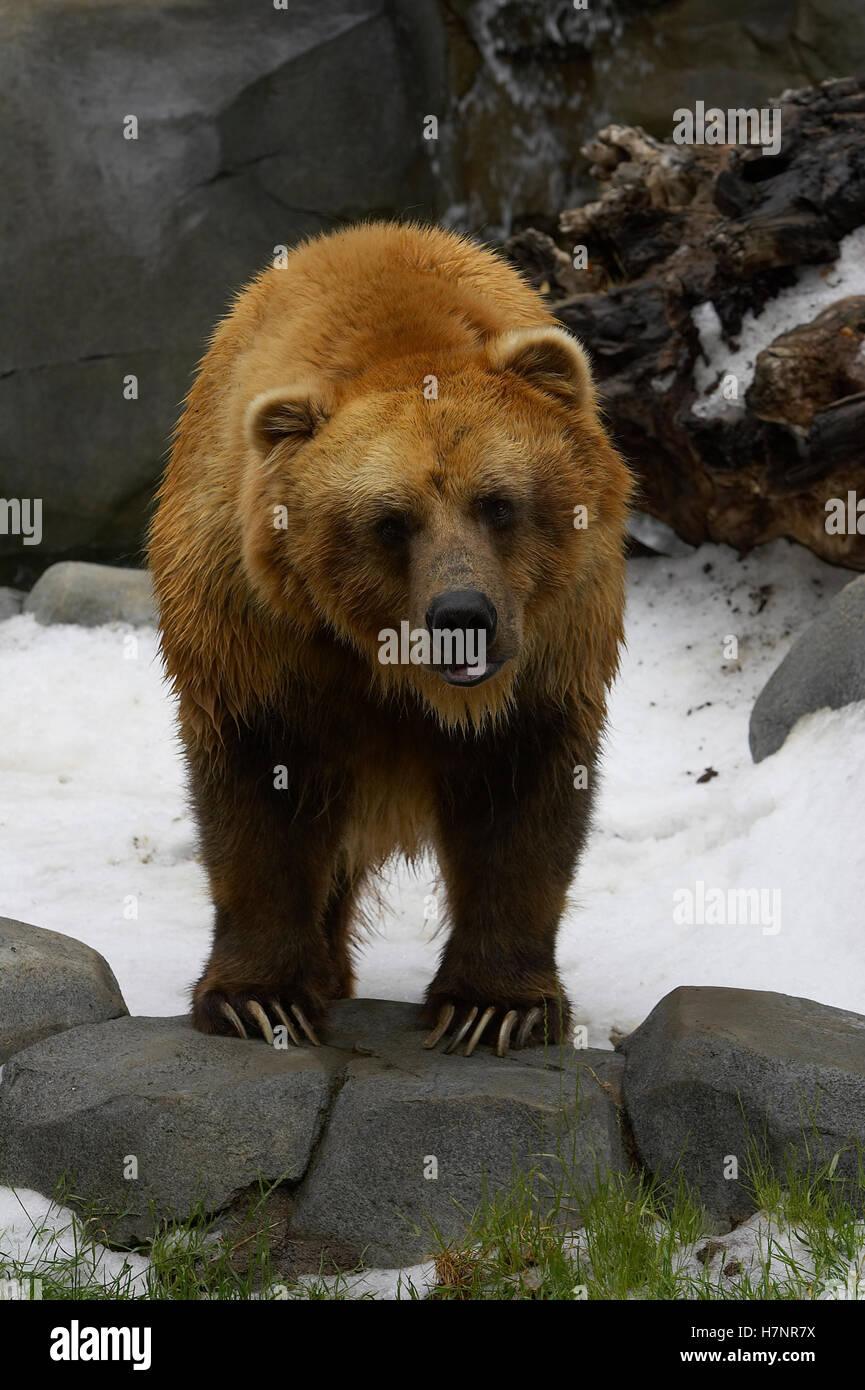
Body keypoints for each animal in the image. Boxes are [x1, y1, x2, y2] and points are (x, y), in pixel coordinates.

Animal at [148, 221, 632, 1057]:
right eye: (389, 520)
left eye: (497, 503)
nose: (461, 616)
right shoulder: (258, 635)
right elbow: (258, 800)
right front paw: (258, 1000)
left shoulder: (554, 652)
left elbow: (523, 809)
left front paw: (494, 1008)